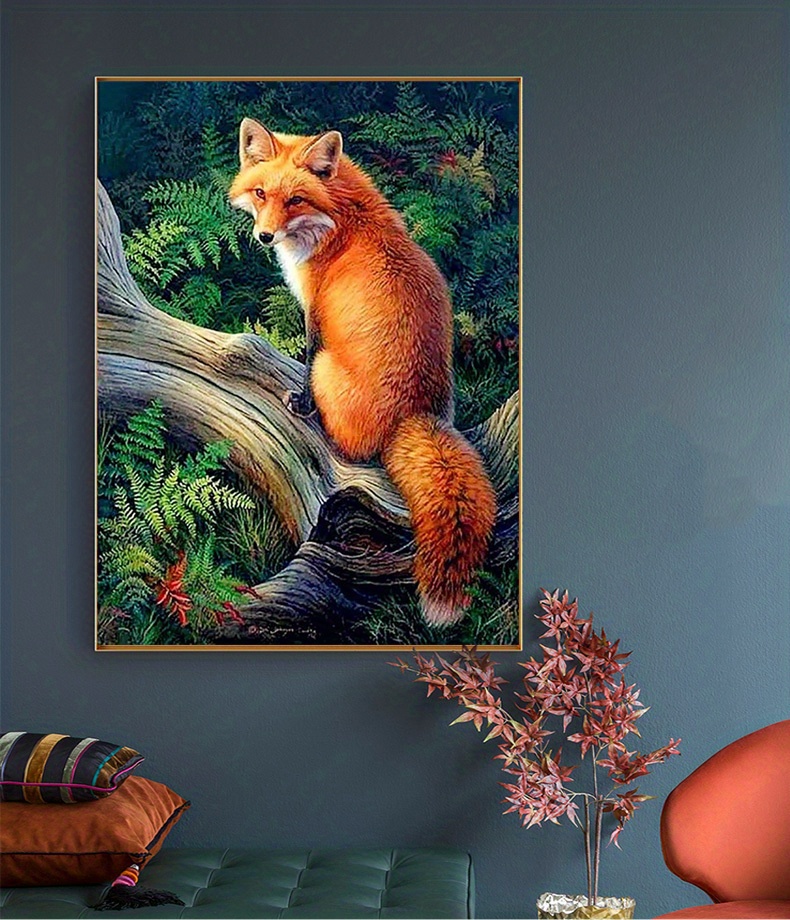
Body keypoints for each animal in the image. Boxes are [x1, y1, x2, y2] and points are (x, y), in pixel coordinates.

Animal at [229, 117, 496, 626]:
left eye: (295, 199)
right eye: (260, 193)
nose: (265, 237)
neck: (343, 219)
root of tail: (415, 414)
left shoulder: (314, 312)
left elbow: (306, 356)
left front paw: (301, 402)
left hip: (330, 371)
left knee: (346, 444)